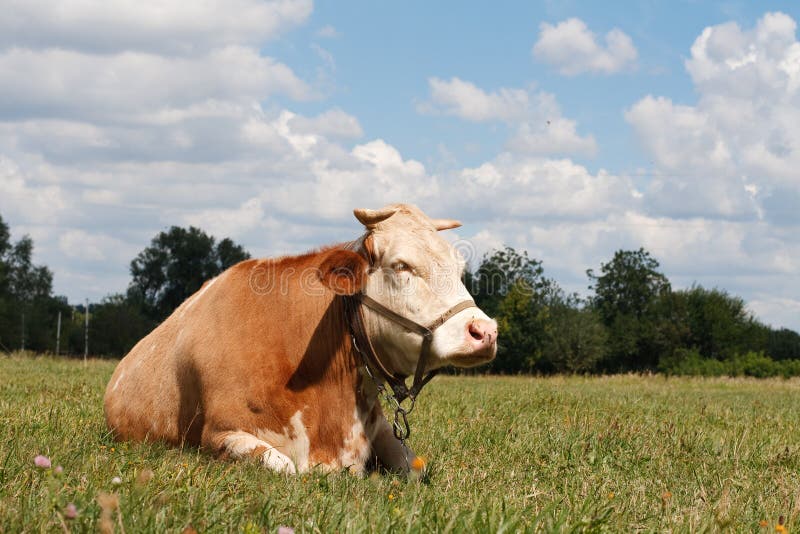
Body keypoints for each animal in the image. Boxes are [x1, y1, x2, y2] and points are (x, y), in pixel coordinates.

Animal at [104, 203, 498, 474]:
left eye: (460, 269)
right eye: (401, 265)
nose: (485, 331)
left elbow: (416, 467)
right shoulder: (219, 433)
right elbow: (287, 468)